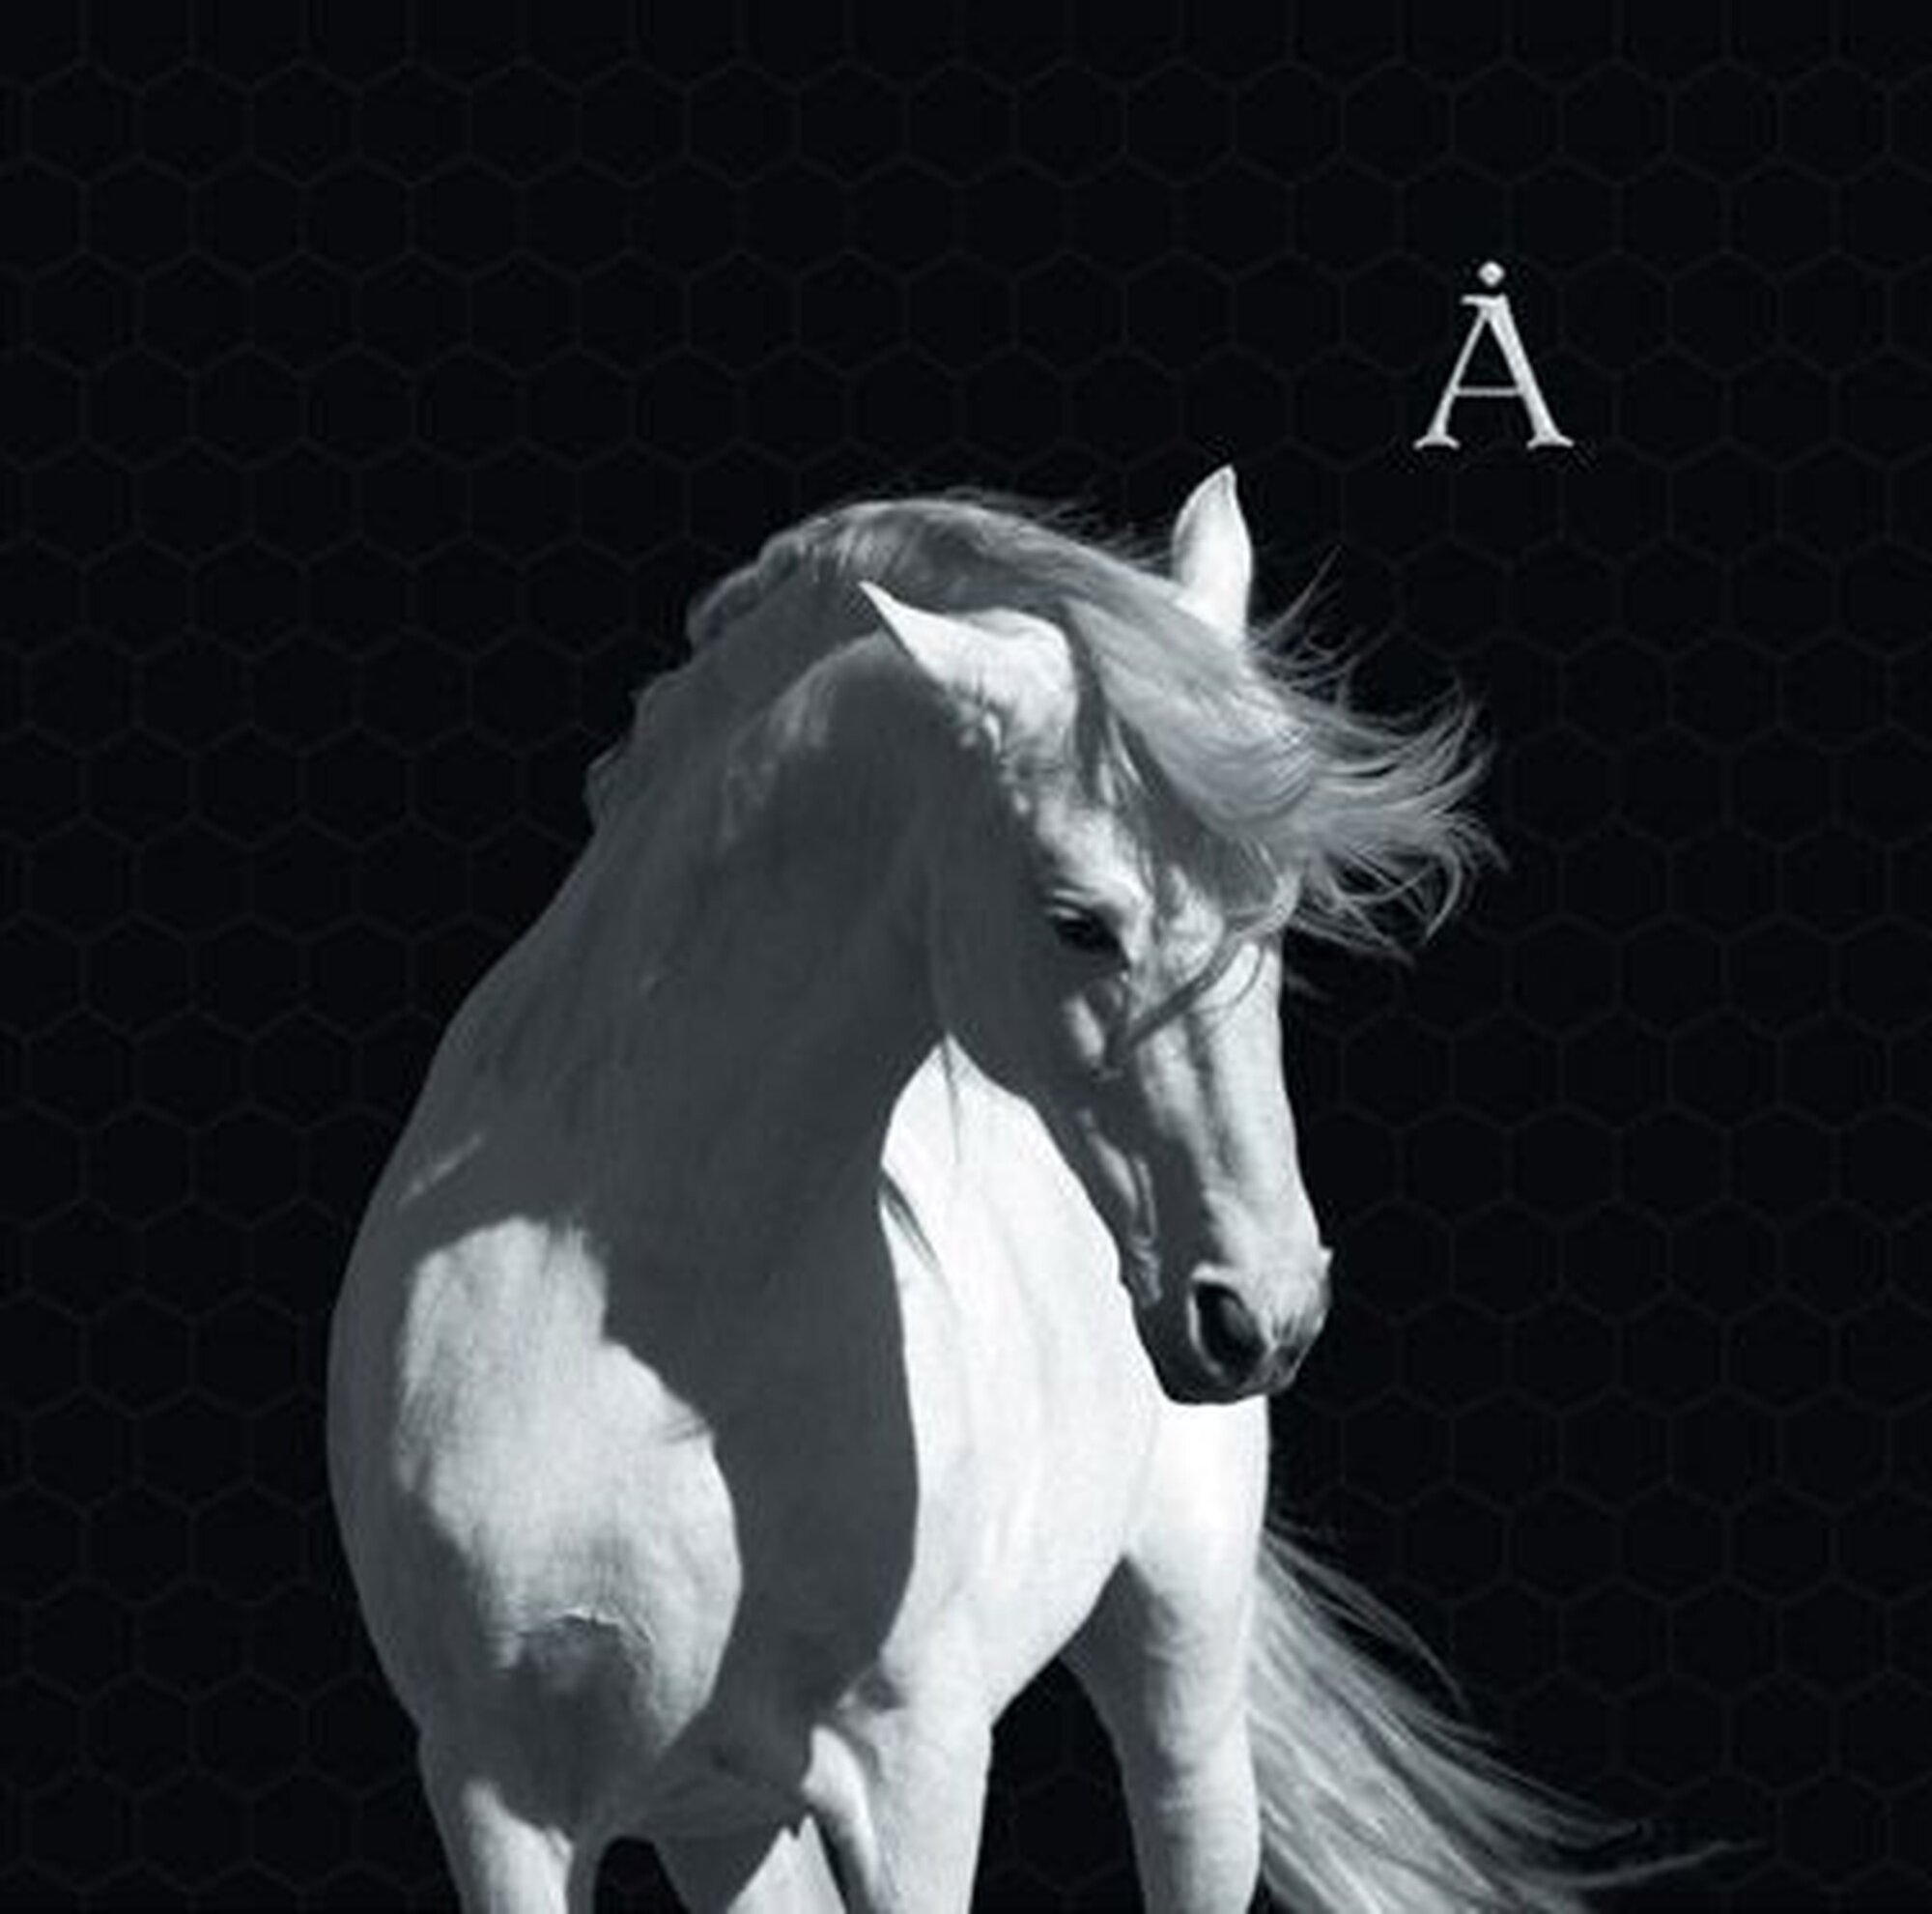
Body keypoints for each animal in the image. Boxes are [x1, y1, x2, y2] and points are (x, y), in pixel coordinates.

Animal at [326, 471, 1610, 1912]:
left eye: (1275, 915)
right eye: (1077, 922)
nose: (1261, 1313)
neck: (649, 1293)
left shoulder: (916, 1769)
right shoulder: (501, 1803)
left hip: (1179, 1670)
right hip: (728, 1823)